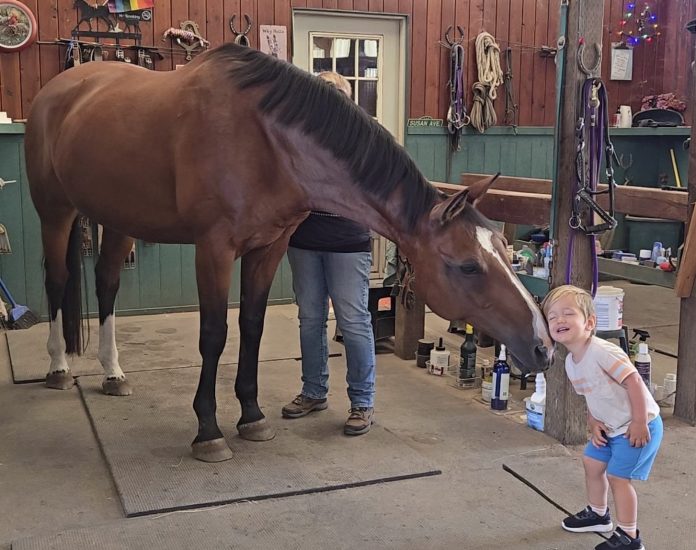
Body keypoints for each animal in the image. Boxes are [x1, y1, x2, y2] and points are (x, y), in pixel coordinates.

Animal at [24, 43, 554, 462]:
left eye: (504, 249)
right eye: (467, 266)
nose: (543, 346)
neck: (262, 141)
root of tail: (58, 89)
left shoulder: (269, 247)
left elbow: (252, 328)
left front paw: (252, 416)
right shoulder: (213, 249)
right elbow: (214, 336)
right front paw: (208, 431)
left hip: (118, 220)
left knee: (107, 284)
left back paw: (113, 373)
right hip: (55, 211)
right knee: (56, 280)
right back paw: (57, 367)